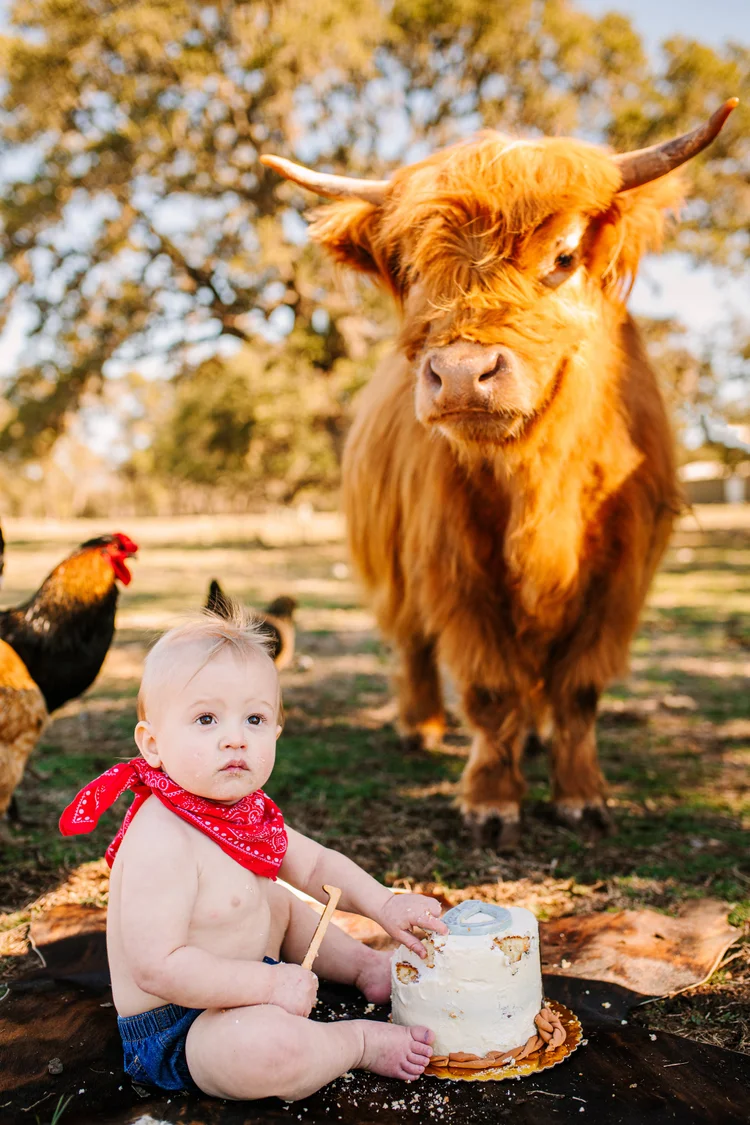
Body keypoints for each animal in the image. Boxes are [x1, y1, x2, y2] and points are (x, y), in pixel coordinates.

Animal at [262, 100, 738, 848]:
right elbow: (489, 689)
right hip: (392, 562)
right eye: (410, 269)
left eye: (564, 257)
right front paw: (489, 802)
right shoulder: (455, 561)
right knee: (413, 645)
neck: (538, 478)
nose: (461, 373)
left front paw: (581, 794)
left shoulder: (618, 570)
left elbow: (578, 690)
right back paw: (422, 727)